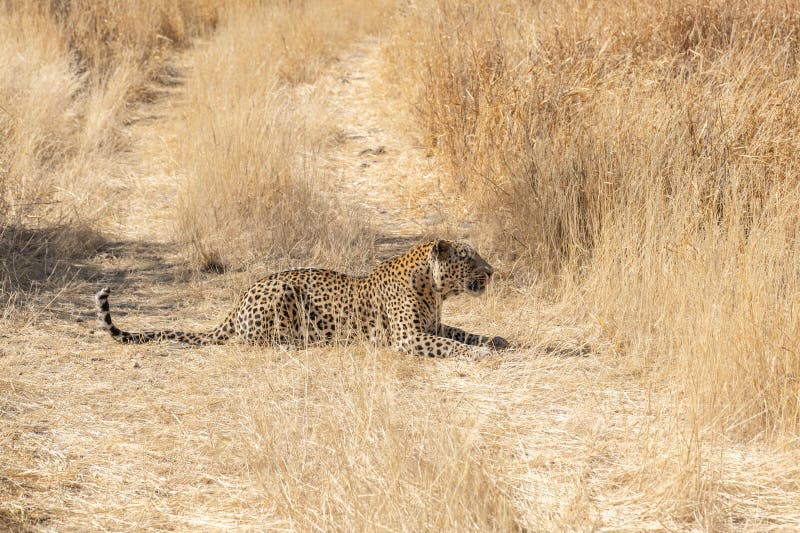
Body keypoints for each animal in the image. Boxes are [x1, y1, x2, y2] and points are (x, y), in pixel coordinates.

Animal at [94, 239, 510, 359]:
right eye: (469, 258)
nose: (492, 271)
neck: (431, 287)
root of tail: (237, 302)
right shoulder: (409, 336)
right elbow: (450, 345)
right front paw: (478, 354)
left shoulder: (433, 324)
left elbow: (461, 332)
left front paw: (495, 340)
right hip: (282, 294)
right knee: (258, 341)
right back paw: (298, 343)